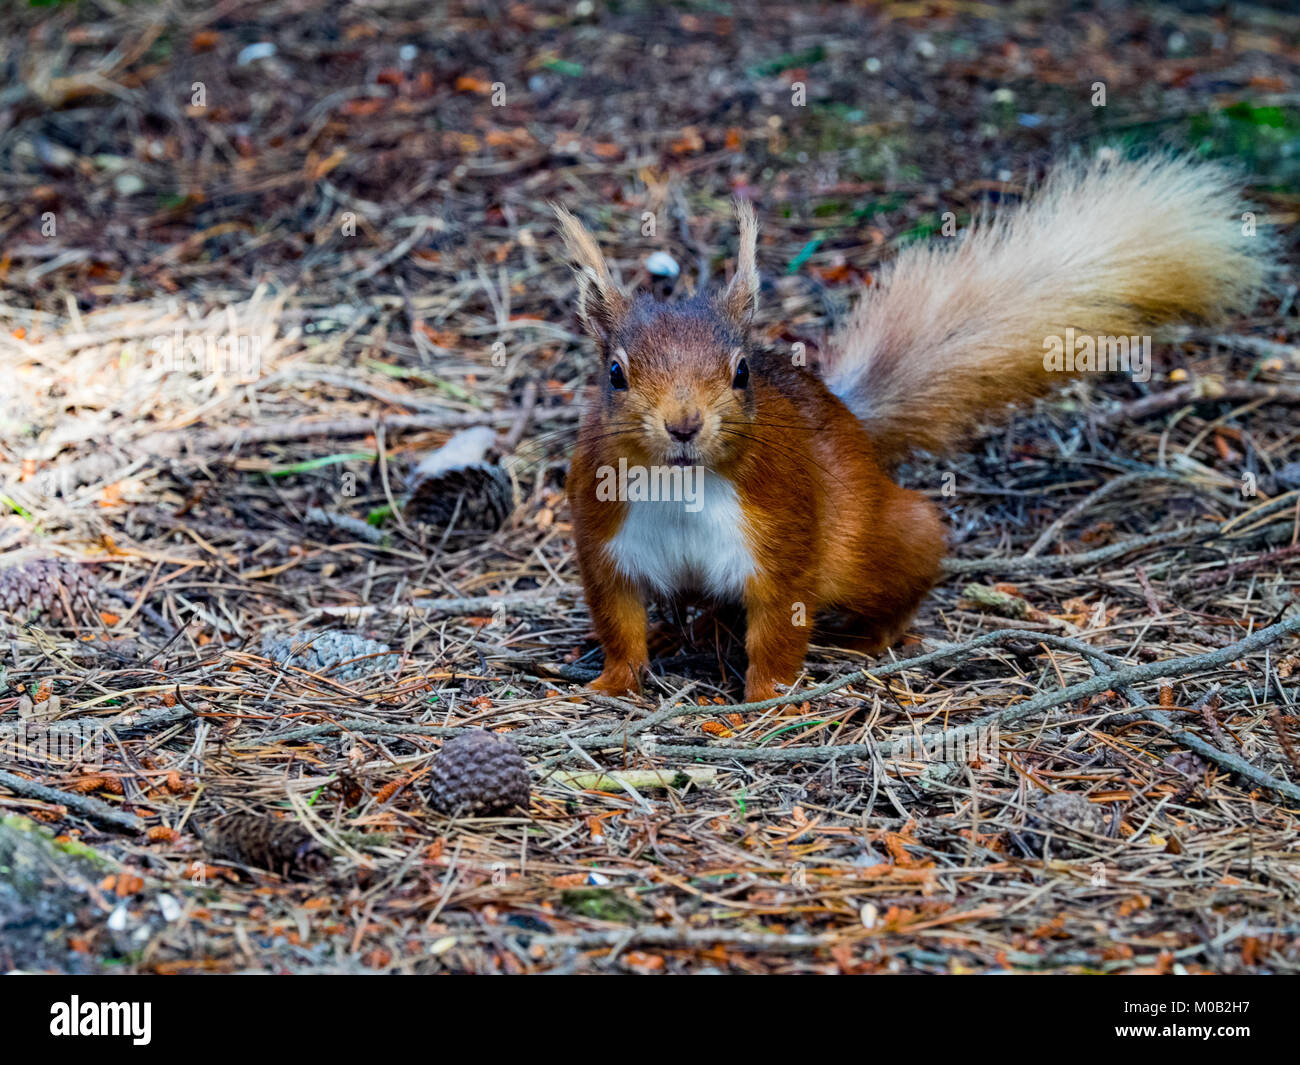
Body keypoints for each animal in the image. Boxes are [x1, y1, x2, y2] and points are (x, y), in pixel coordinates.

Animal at [554, 156, 1272, 702]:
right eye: (615, 374)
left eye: (740, 372)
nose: (683, 424)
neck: (681, 490)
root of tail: (850, 422)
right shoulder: (606, 543)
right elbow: (619, 622)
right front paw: (610, 684)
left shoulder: (782, 538)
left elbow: (780, 628)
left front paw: (766, 701)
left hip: (871, 544)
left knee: (912, 557)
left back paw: (869, 637)